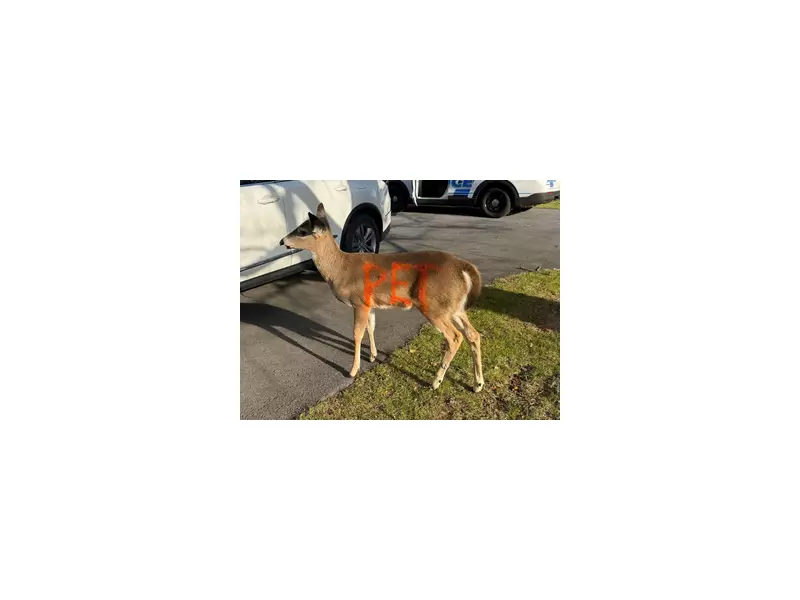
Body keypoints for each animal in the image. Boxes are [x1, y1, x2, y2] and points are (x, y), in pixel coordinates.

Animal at [280, 203, 485, 392]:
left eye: (303, 231)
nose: (282, 241)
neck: (340, 269)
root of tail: (464, 267)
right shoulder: (370, 304)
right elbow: (371, 327)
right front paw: (372, 355)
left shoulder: (359, 301)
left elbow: (357, 333)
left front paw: (353, 370)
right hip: (455, 307)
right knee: (473, 334)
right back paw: (478, 384)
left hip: (434, 306)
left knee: (455, 337)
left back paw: (436, 381)